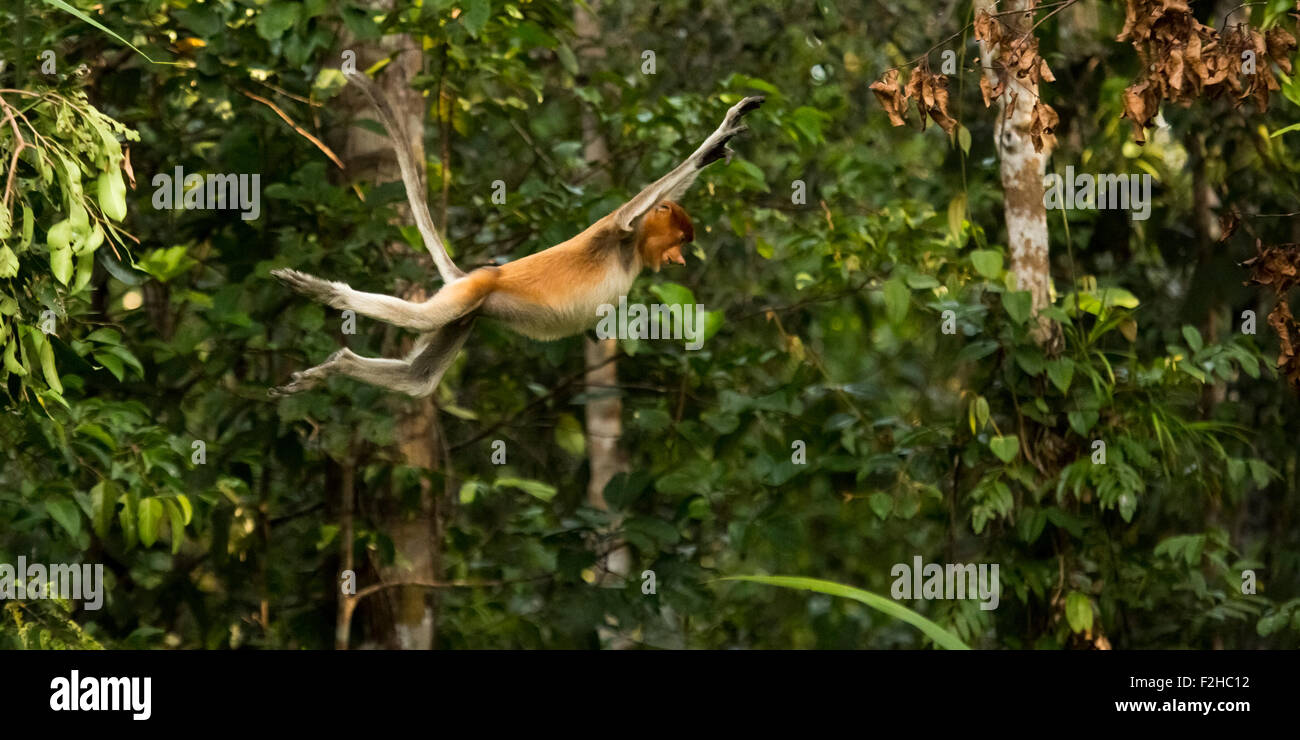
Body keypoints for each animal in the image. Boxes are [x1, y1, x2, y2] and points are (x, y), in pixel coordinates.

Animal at [269, 71, 762, 398]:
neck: (634, 252)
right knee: (422, 320)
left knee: (419, 380)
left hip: (469, 313)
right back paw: (327, 293)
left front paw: (716, 148)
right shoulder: (616, 231)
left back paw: (334, 367)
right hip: (471, 293)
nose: (679, 261)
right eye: (678, 242)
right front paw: (717, 136)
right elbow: (635, 206)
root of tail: (479, 274)